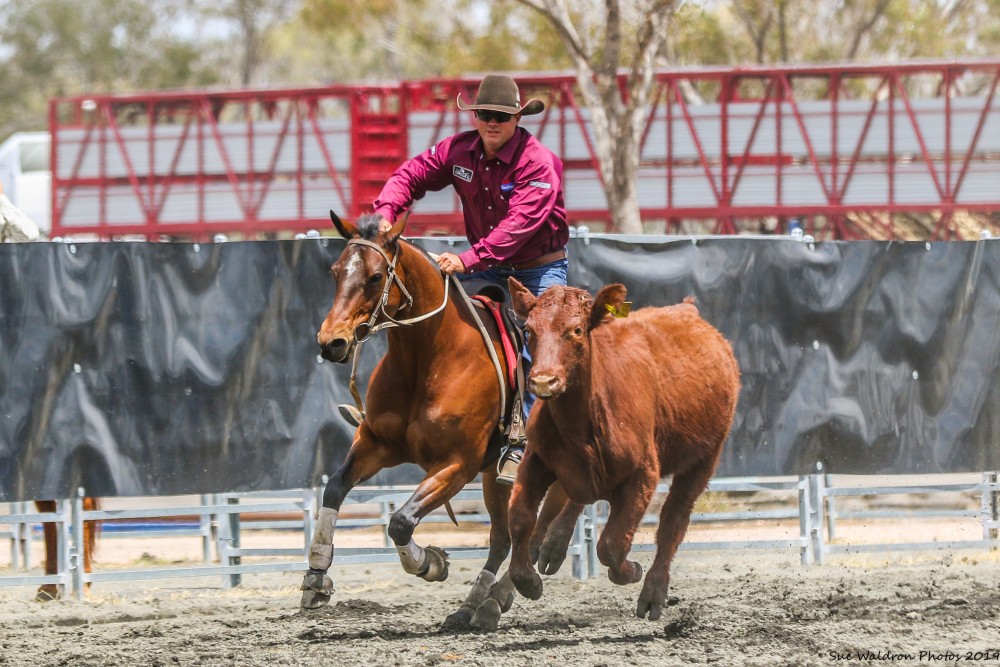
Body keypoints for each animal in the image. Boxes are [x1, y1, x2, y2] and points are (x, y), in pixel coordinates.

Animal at [300, 212, 576, 630]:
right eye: (334, 272)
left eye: (375, 277)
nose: (332, 342)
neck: (429, 356)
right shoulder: (375, 444)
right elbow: (334, 489)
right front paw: (316, 576)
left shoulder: (456, 465)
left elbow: (400, 521)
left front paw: (431, 563)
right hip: (495, 478)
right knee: (503, 538)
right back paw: (477, 606)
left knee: (543, 525)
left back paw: (525, 578)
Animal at [505, 280, 740, 623]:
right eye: (528, 330)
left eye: (577, 330)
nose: (544, 381)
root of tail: (687, 311)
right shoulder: (536, 459)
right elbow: (521, 518)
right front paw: (528, 580)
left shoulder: (644, 473)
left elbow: (612, 544)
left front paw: (630, 571)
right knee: (577, 499)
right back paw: (553, 546)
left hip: (705, 458)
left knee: (673, 520)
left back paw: (653, 593)